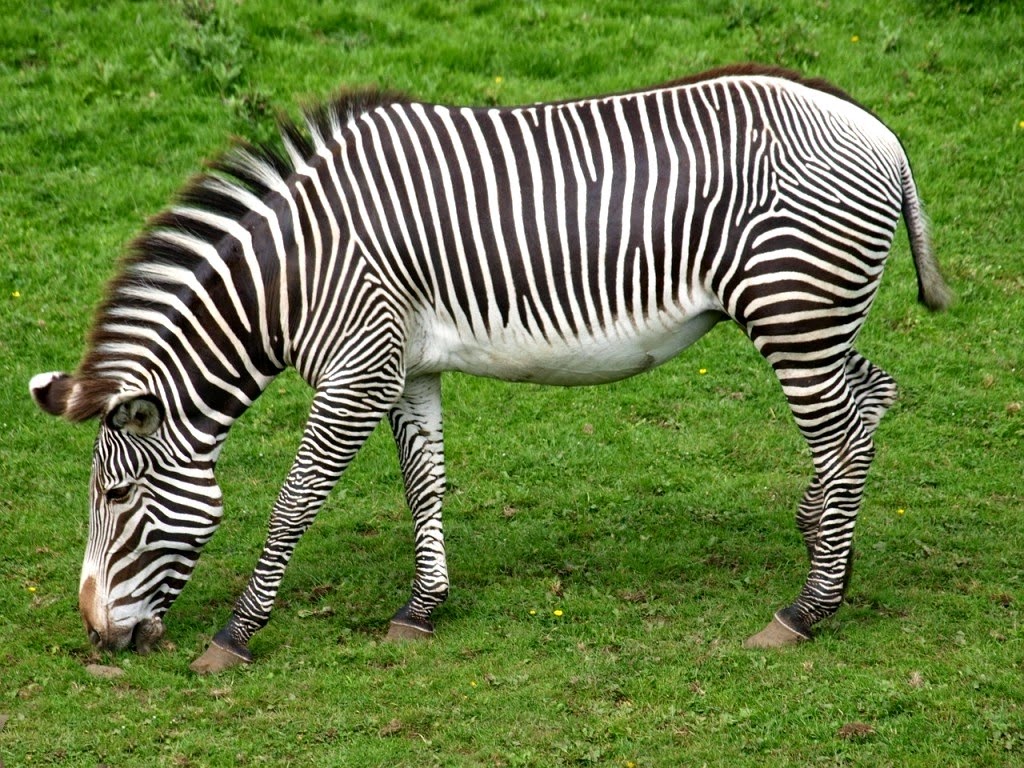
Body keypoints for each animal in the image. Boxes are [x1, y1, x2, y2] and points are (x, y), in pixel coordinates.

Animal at [29, 65, 951, 674]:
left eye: (116, 497)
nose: (97, 636)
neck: (296, 273)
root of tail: (880, 132)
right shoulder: (405, 366)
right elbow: (422, 484)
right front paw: (421, 609)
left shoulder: (357, 368)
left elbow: (296, 502)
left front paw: (233, 637)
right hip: (813, 316)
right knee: (870, 399)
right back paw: (823, 541)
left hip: (793, 311)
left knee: (839, 432)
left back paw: (807, 609)